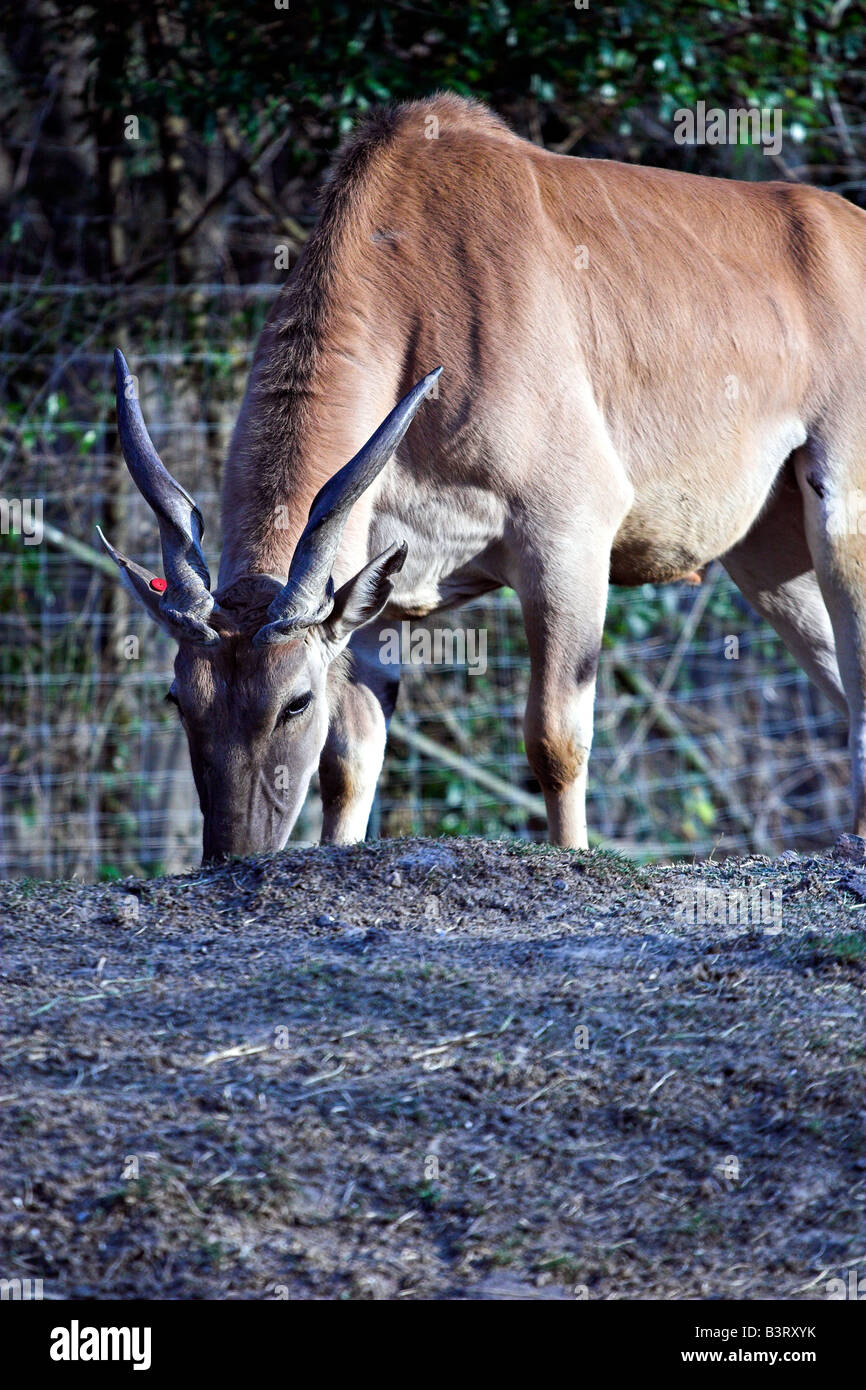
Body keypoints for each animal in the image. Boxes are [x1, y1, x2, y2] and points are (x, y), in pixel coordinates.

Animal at [100, 93, 866, 863]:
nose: (232, 855)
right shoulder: (374, 596)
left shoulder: (567, 540)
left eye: (295, 701)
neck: (412, 275)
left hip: (840, 524)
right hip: (770, 555)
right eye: (180, 698)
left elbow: (555, 741)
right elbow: (349, 763)